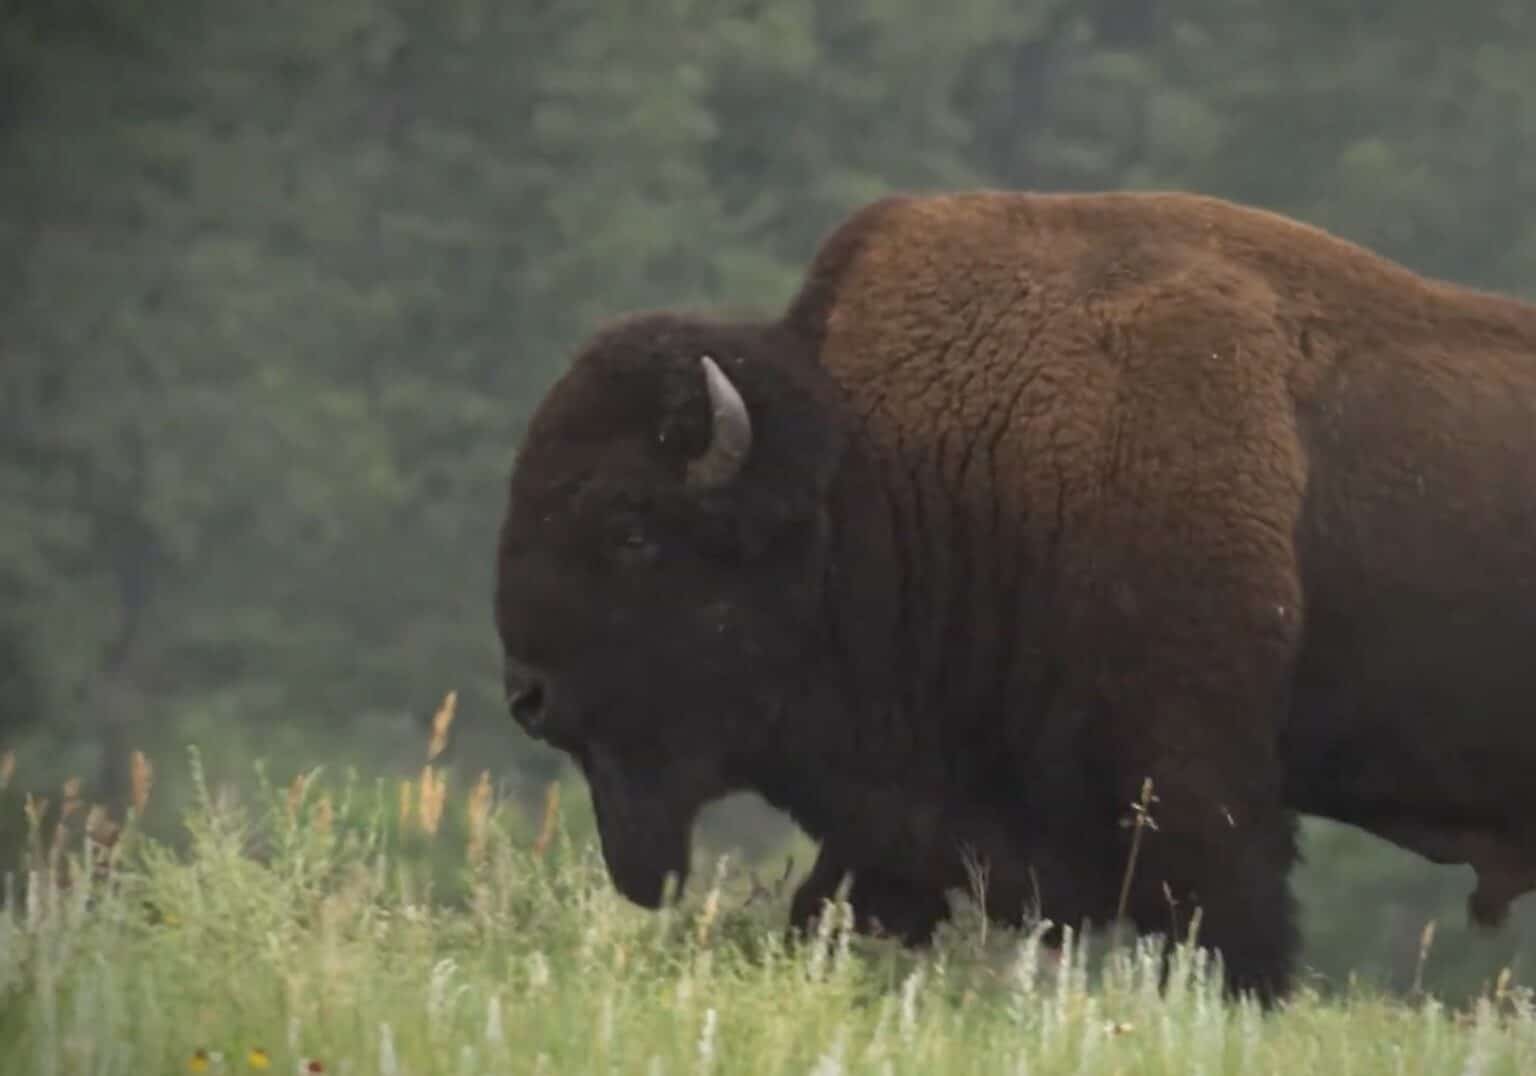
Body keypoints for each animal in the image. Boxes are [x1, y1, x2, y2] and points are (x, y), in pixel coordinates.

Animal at [493, 189, 1536, 1004]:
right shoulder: (910, 823)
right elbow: (831, 909)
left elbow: (1235, 945)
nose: (527, 695)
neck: (881, 475)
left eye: (632, 532)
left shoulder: (1200, 803)